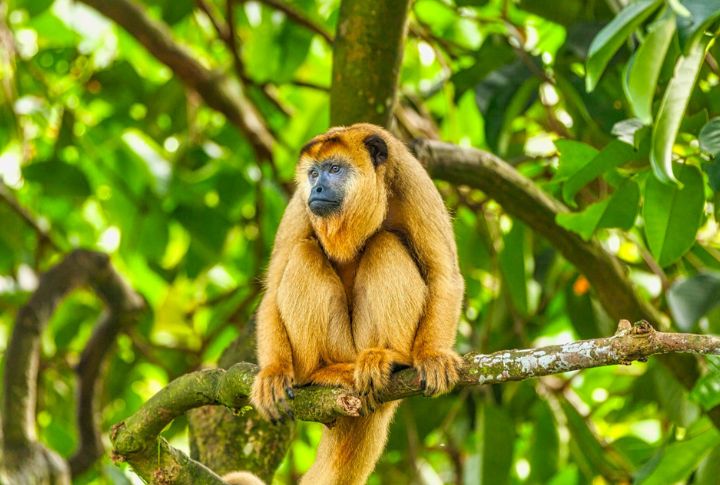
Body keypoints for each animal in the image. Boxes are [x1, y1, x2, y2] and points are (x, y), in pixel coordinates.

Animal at [249, 123, 464, 485]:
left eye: (335, 169)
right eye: (313, 173)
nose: (317, 186)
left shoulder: (414, 183)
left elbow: (444, 274)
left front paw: (433, 355)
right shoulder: (299, 205)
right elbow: (271, 292)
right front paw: (273, 372)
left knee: (384, 244)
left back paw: (391, 358)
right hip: (339, 348)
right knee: (304, 253)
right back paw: (321, 372)